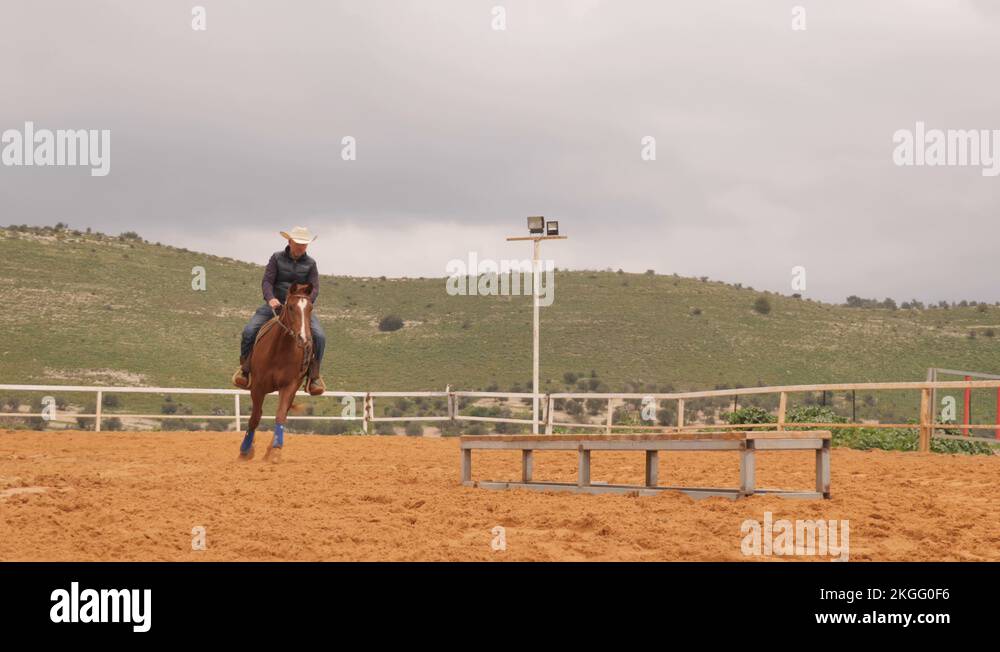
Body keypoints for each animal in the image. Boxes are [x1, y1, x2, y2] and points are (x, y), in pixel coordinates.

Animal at [238, 282, 315, 462]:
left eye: (311, 308)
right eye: (291, 307)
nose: (304, 339)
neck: (280, 350)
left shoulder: (289, 386)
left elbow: (280, 415)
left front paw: (275, 451)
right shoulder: (257, 387)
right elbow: (255, 417)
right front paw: (245, 449)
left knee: (283, 413)